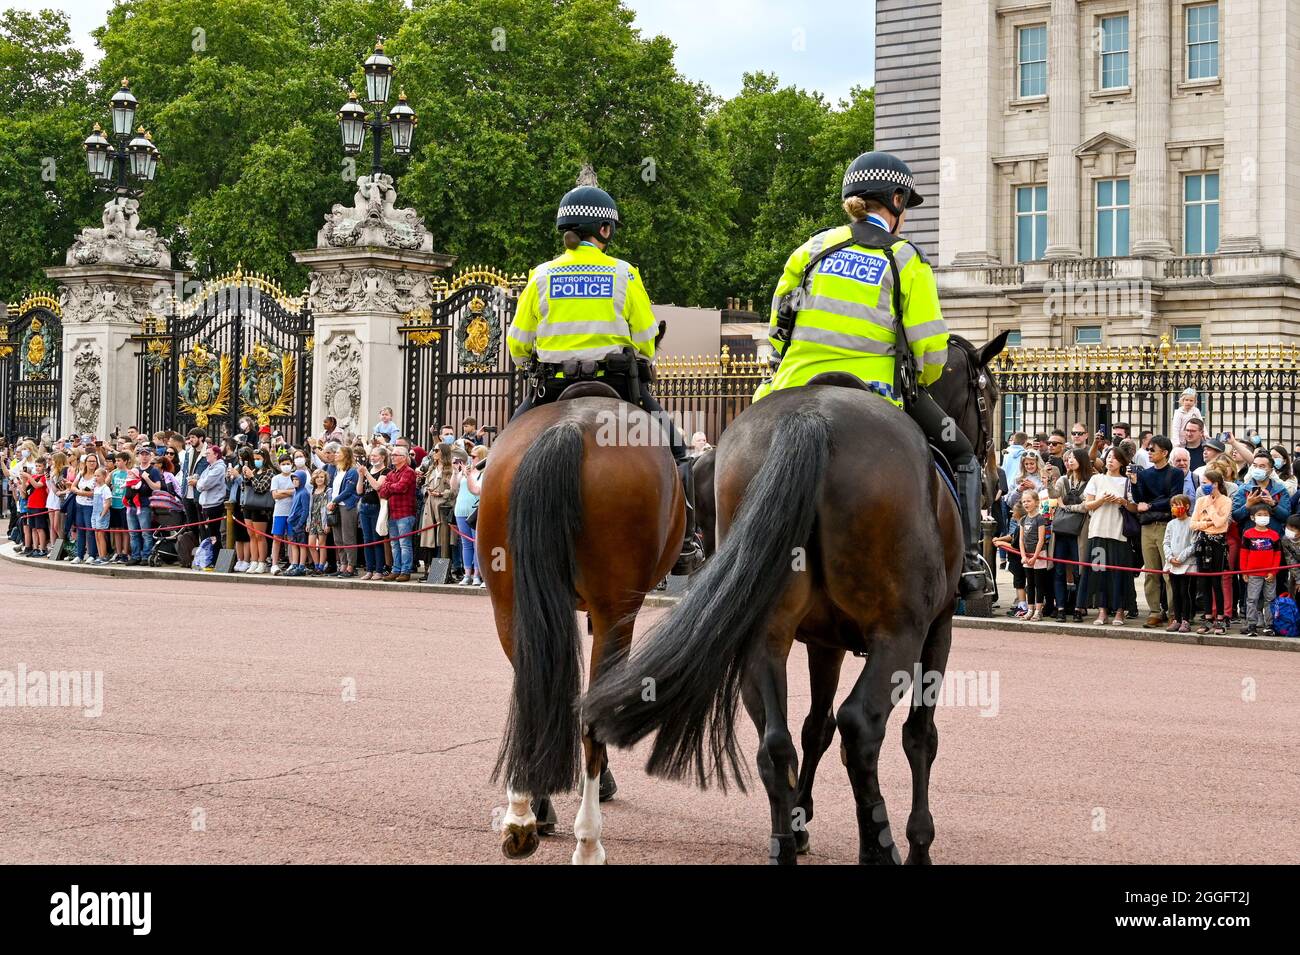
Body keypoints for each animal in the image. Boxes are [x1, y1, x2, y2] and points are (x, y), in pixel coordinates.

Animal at [477, 385, 685, 864]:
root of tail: (569, 427)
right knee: (592, 716)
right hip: (615, 612)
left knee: (534, 692)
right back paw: (588, 840)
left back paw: (522, 818)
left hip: (509, 604)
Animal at [583, 333, 1008, 865]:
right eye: (989, 394)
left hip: (765, 631)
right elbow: (917, 736)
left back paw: (784, 843)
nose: (990, 481)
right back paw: (881, 846)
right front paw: (918, 844)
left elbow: (814, 728)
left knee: (776, 742)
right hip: (901, 630)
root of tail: (811, 420)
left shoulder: (825, 643)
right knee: (861, 727)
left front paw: (802, 821)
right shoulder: (939, 629)